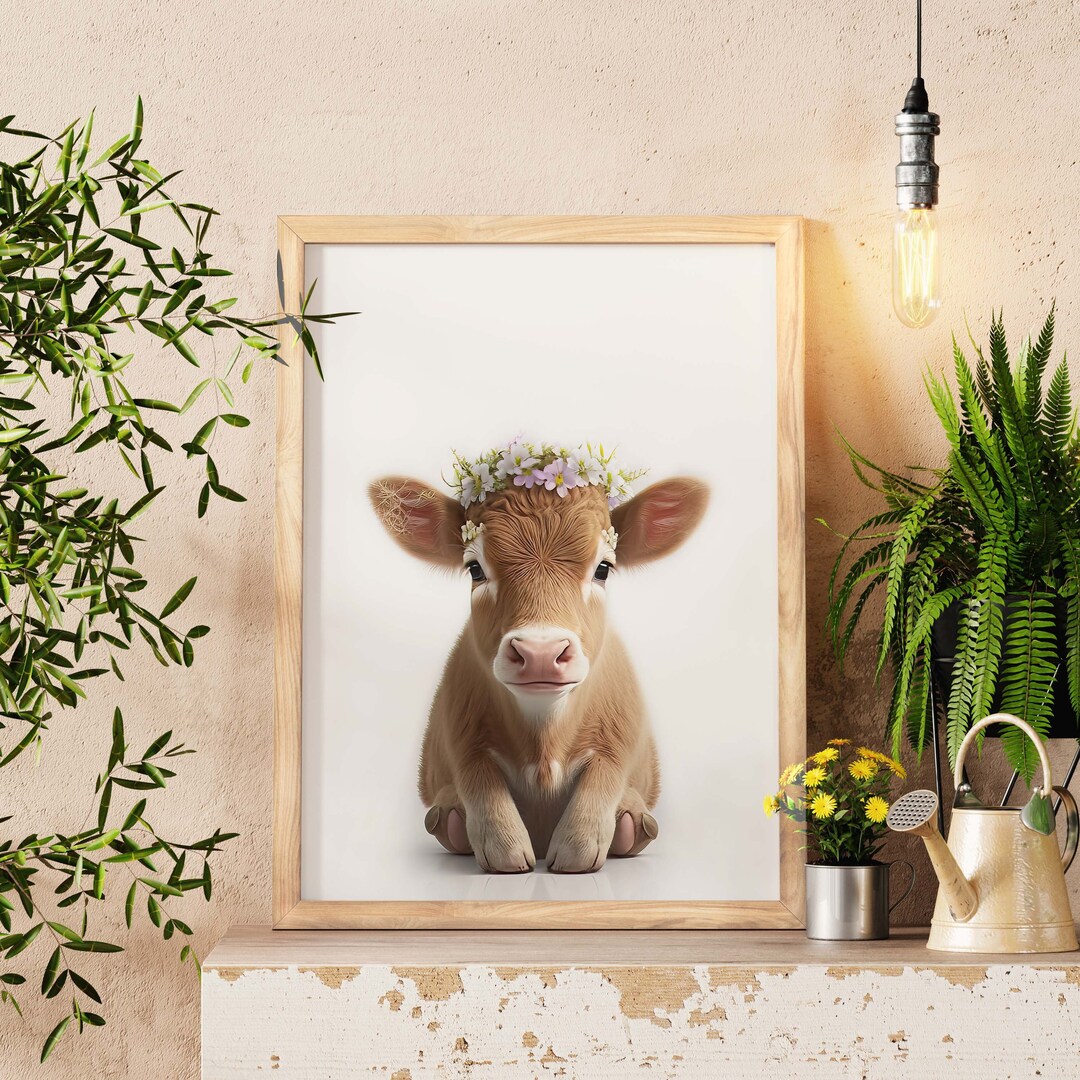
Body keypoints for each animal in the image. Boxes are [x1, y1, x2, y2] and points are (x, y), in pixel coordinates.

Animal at [368, 465, 708, 873]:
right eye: (475, 569)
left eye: (604, 568)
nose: (541, 653)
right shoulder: (457, 727)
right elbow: (478, 776)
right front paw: (504, 844)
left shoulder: (624, 730)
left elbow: (605, 772)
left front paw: (580, 842)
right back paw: (451, 820)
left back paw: (631, 821)